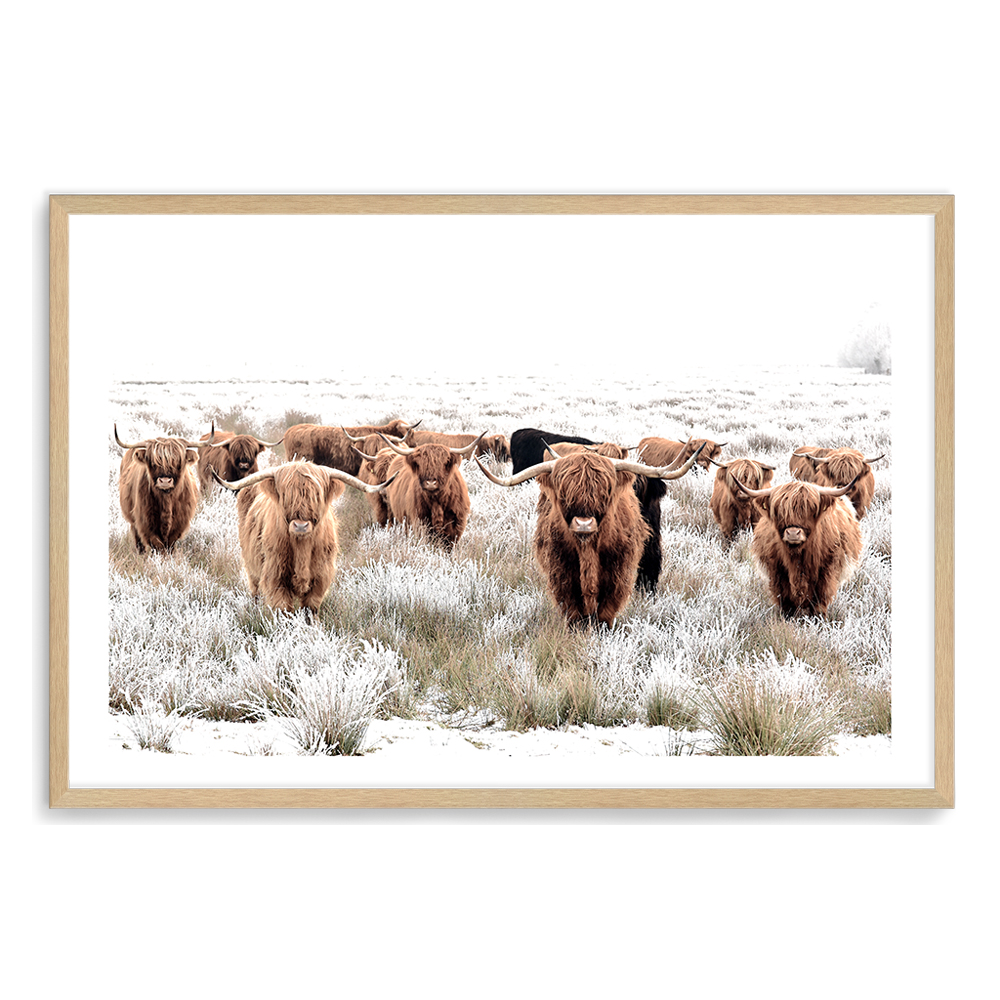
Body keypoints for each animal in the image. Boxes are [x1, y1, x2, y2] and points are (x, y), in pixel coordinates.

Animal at [115, 424, 215, 553]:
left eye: (178, 462)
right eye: (153, 462)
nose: (165, 481)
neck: (166, 500)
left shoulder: (179, 525)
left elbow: (169, 546)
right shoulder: (145, 523)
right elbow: (157, 545)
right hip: (133, 520)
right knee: (138, 541)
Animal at [211, 460, 397, 613]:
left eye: (316, 495)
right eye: (285, 495)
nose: (300, 526)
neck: (302, 548)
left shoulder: (321, 577)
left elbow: (310, 608)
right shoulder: (275, 575)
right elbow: (284, 609)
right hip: (252, 568)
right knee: (255, 591)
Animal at [476, 446, 703, 628]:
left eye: (605, 492)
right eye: (564, 494)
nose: (583, 523)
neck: (588, 550)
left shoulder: (618, 571)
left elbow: (606, 608)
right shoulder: (561, 570)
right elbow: (573, 607)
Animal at [730, 475, 863, 618]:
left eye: (811, 509)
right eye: (779, 511)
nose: (793, 533)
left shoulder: (827, 571)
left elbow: (820, 600)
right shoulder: (777, 572)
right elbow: (786, 600)